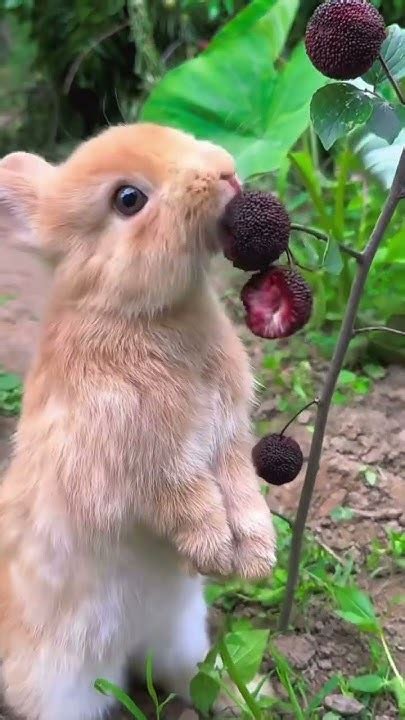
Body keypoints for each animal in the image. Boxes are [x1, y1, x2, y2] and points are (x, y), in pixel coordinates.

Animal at [0, 123, 276, 720]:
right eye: (128, 200)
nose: (224, 171)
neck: (139, 314)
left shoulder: (227, 440)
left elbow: (241, 489)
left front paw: (256, 558)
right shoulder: (140, 458)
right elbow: (183, 499)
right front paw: (217, 552)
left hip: (183, 635)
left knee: (188, 675)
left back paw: (245, 695)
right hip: (63, 688)